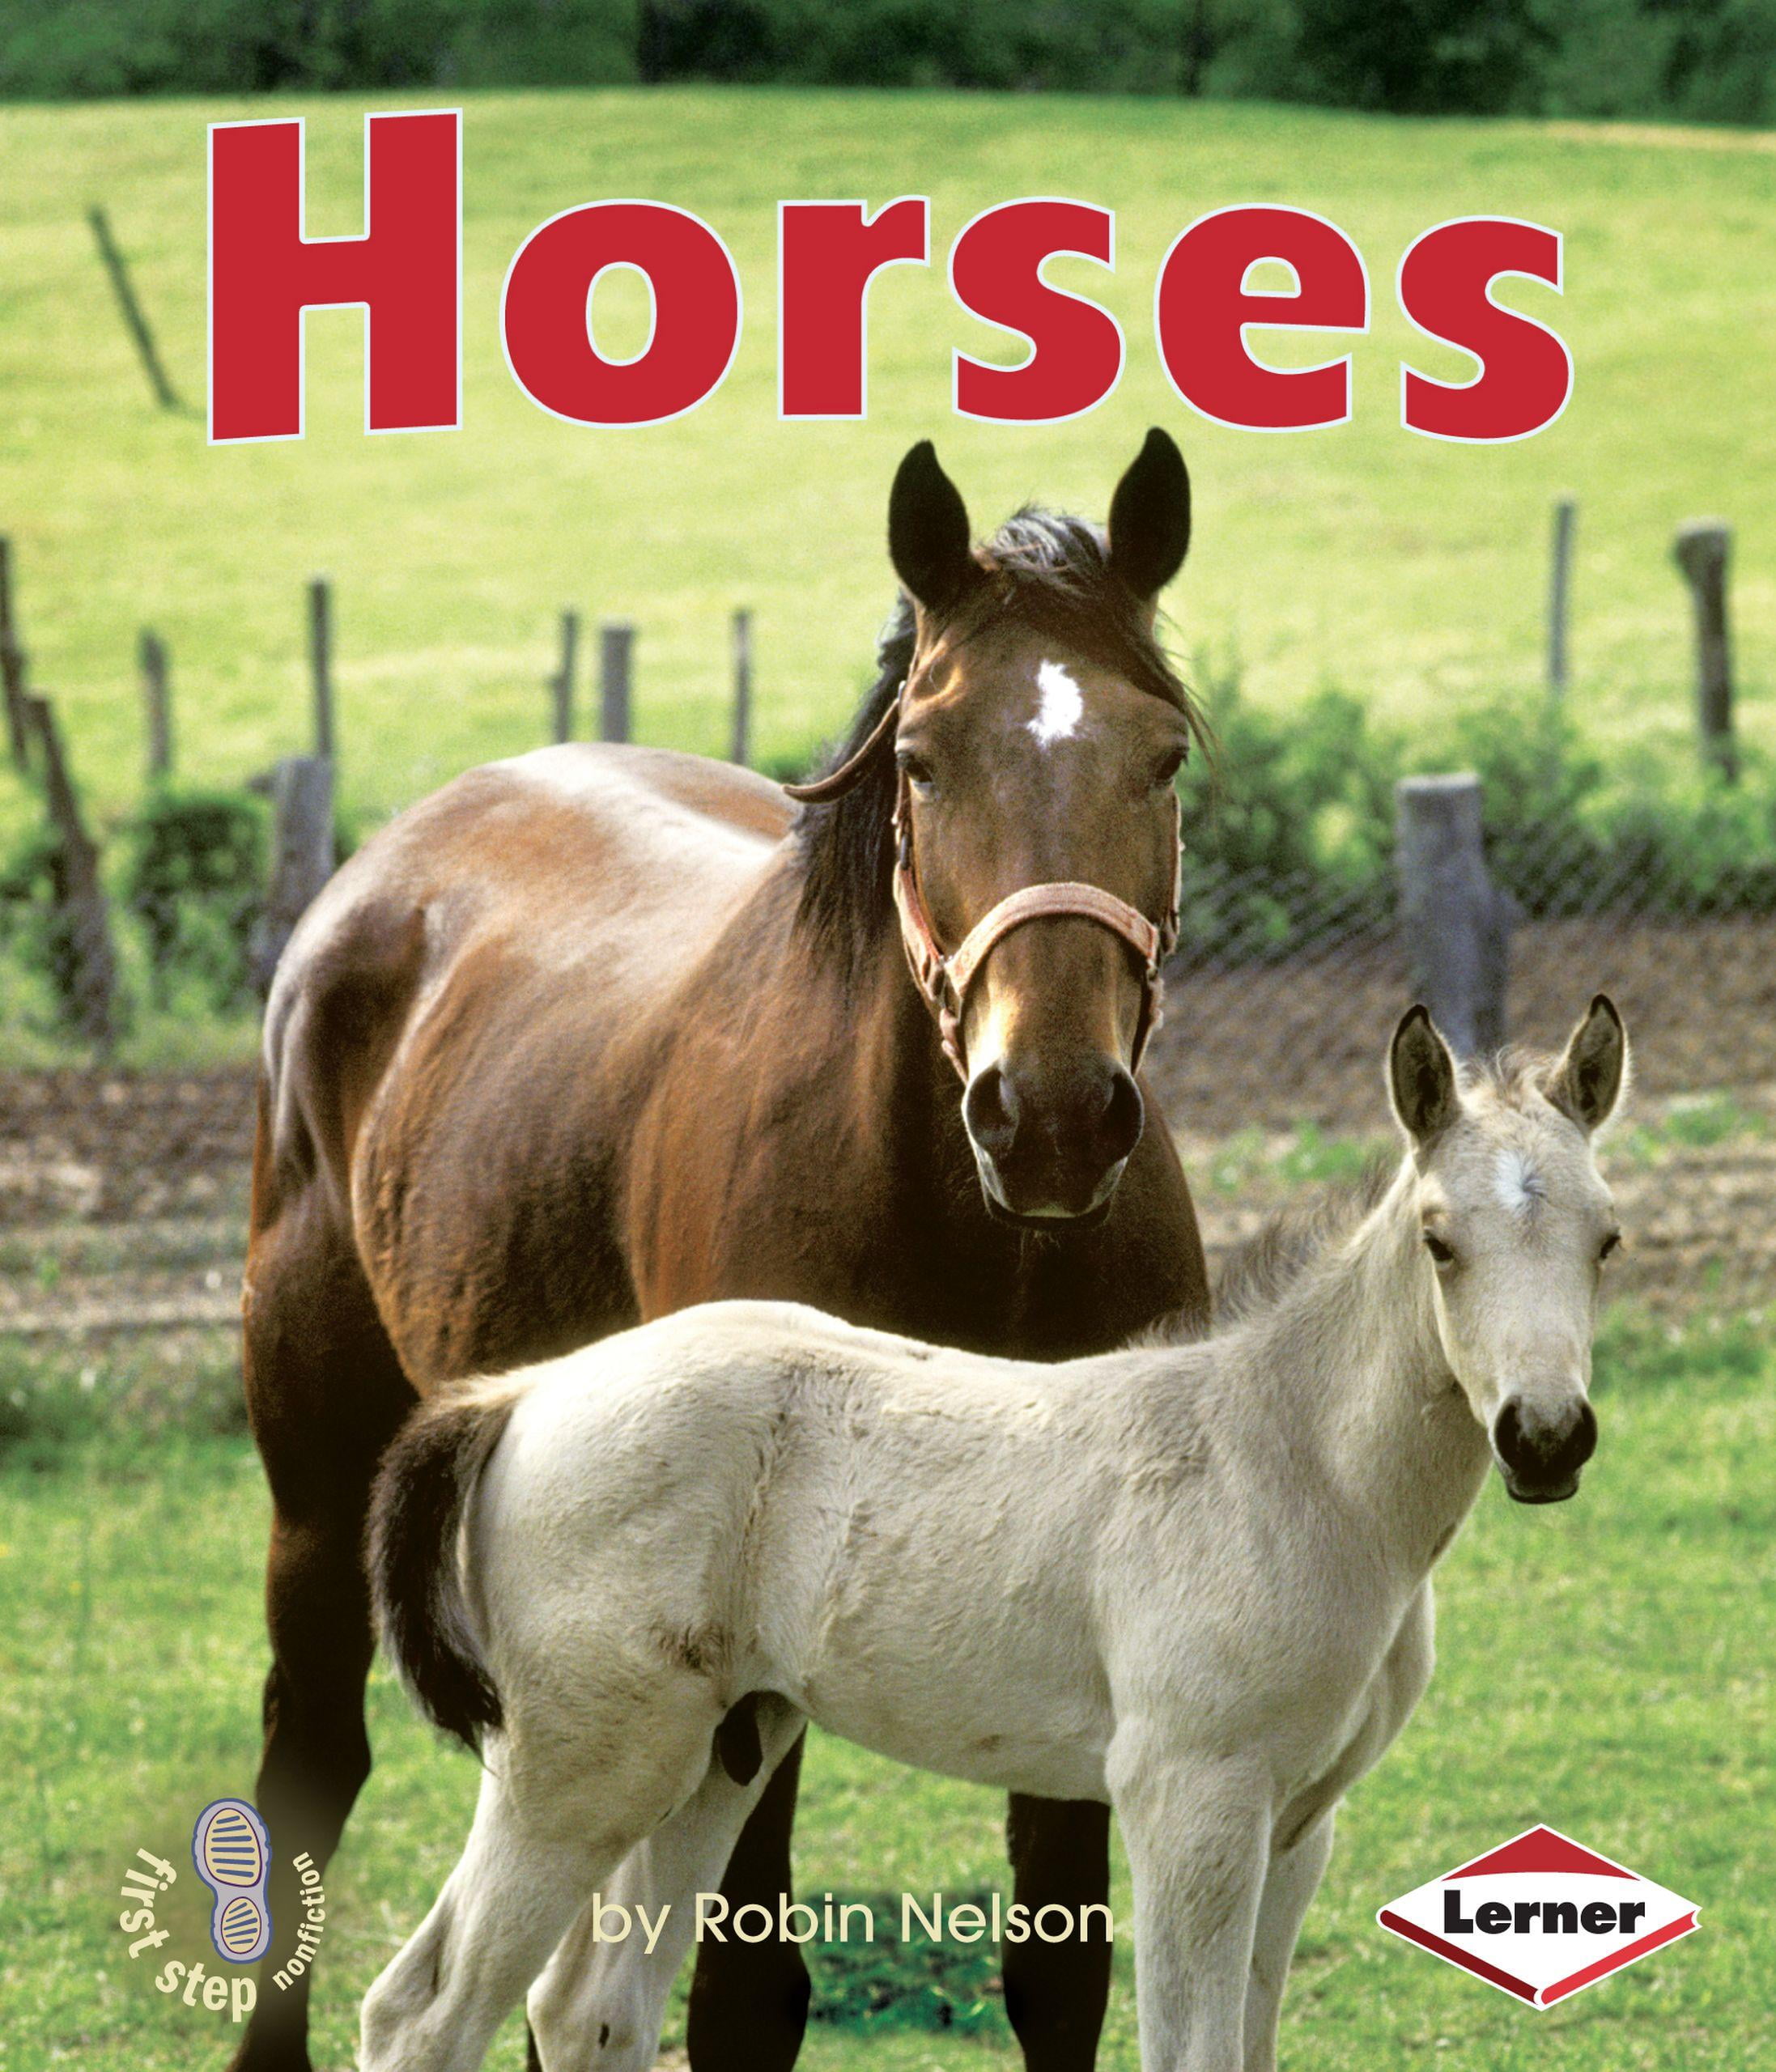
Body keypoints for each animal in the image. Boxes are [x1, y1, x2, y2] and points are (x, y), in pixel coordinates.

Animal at [232, 428, 1213, 2072]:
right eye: (922, 759)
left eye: (1163, 756)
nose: (1053, 1117)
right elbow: (748, 1995)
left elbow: (1060, 1969)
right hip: (324, 1488)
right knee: (313, 1763)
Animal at [359, 995, 1628, 2072]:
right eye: (1438, 1240)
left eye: (1605, 1239)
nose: (1544, 1438)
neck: (1291, 1467)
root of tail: (524, 1393)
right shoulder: (1190, 1799)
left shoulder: (1298, 1824)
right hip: (573, 1771)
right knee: (424, 2013)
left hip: (710, 1756)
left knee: (589, 2007)